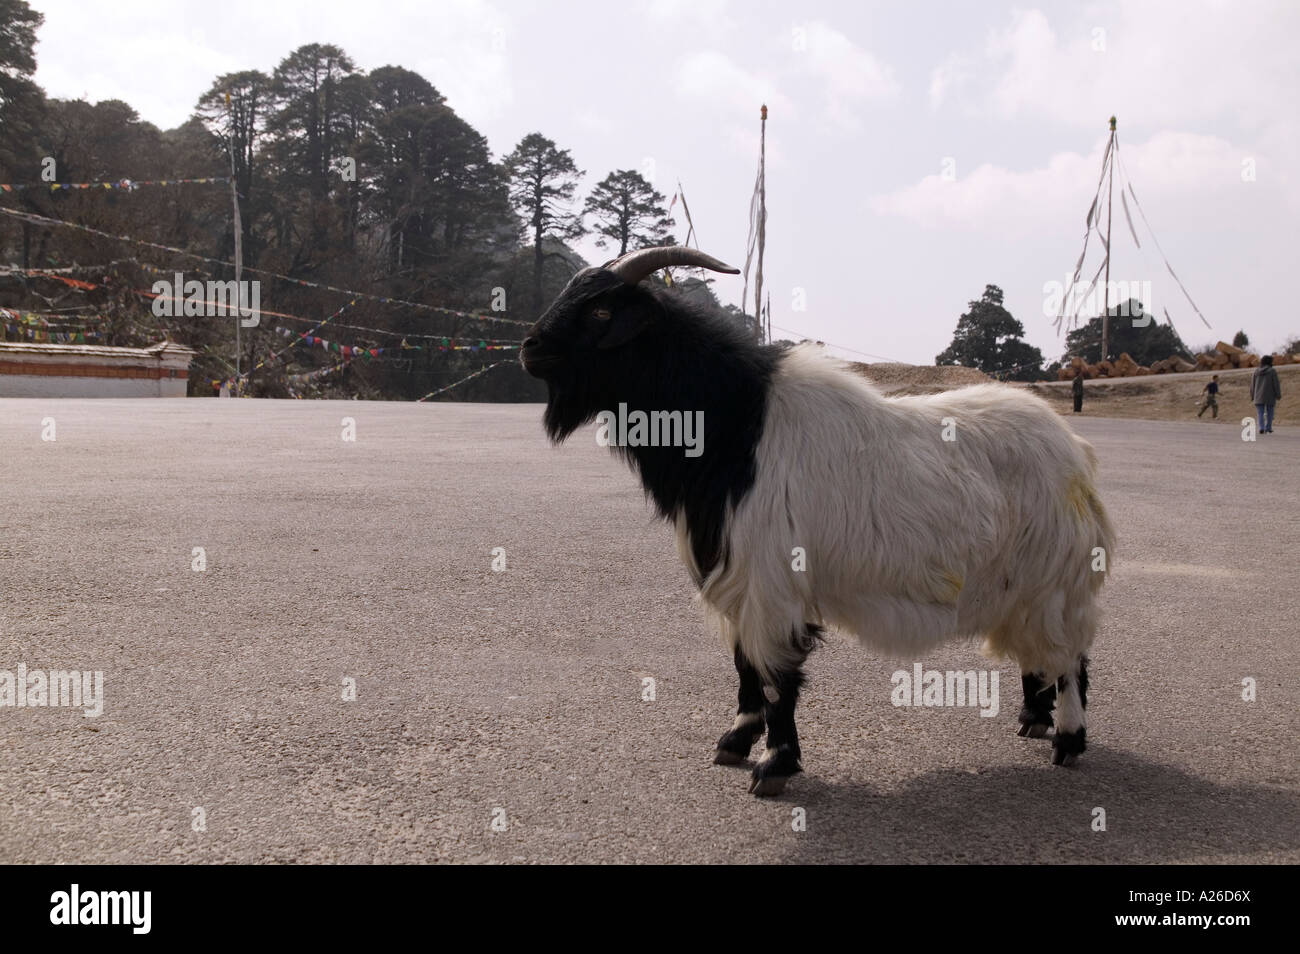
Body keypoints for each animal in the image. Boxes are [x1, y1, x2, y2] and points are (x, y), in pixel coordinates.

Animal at [521, 246, 1115, 797]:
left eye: (601, 311)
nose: (529, 349)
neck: (739, 427)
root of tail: (1076, 450)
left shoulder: (773, 579)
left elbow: (777, 677)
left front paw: (774, 765)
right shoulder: (735, 576)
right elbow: (744, 667)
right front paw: (735, 741)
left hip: (1056, 575)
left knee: (1071, 656)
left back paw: (1068, 739)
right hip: (1020, 583)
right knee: (1041, 650)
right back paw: (1032, 719)